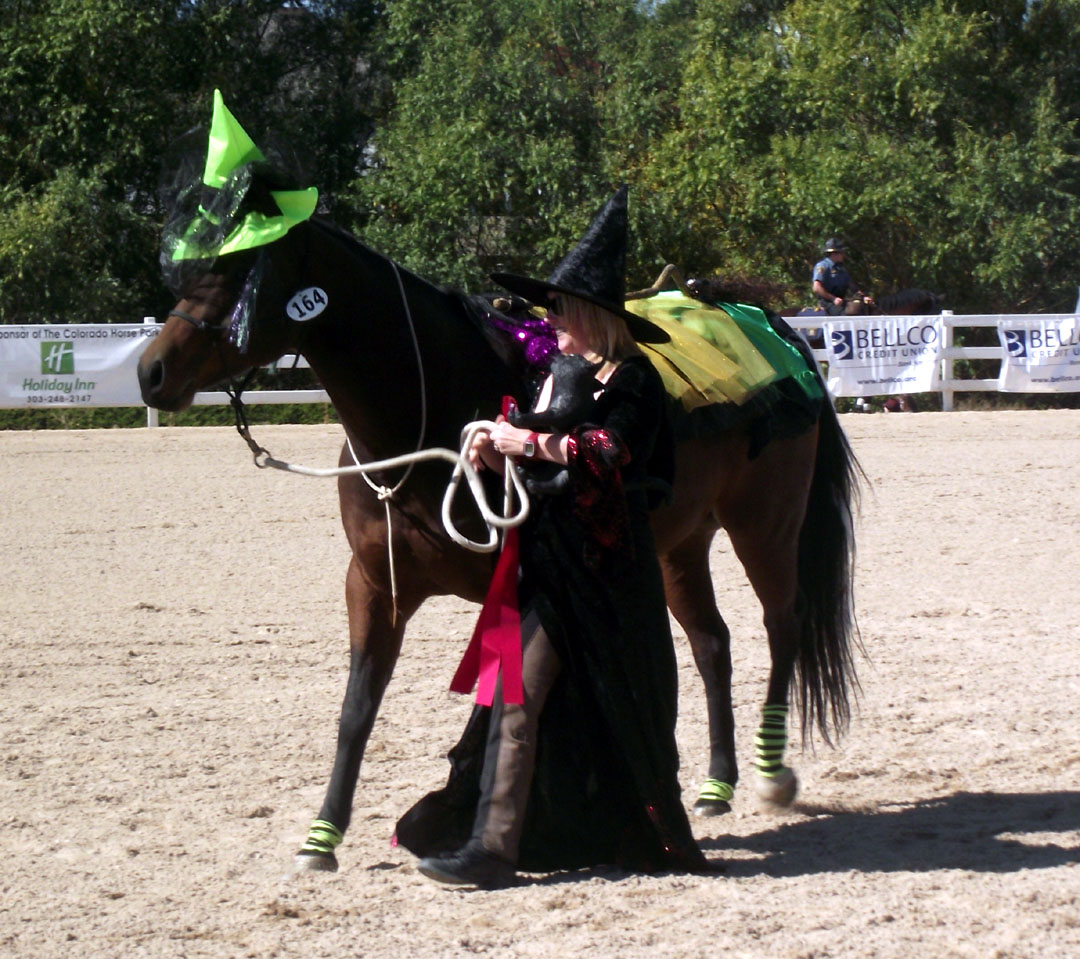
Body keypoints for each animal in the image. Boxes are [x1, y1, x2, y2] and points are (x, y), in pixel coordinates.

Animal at [138, 210, 861, 873]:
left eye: (240, 268)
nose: (151, 370)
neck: (435, 406)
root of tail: (772, 325)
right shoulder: (373, 583)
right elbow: (357, 708)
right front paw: (323, 836)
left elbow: (507, 695)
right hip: (677, 545)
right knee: (713, 644)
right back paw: (716, 783)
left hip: (765, 524)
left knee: (782, 626)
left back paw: (770, 773)